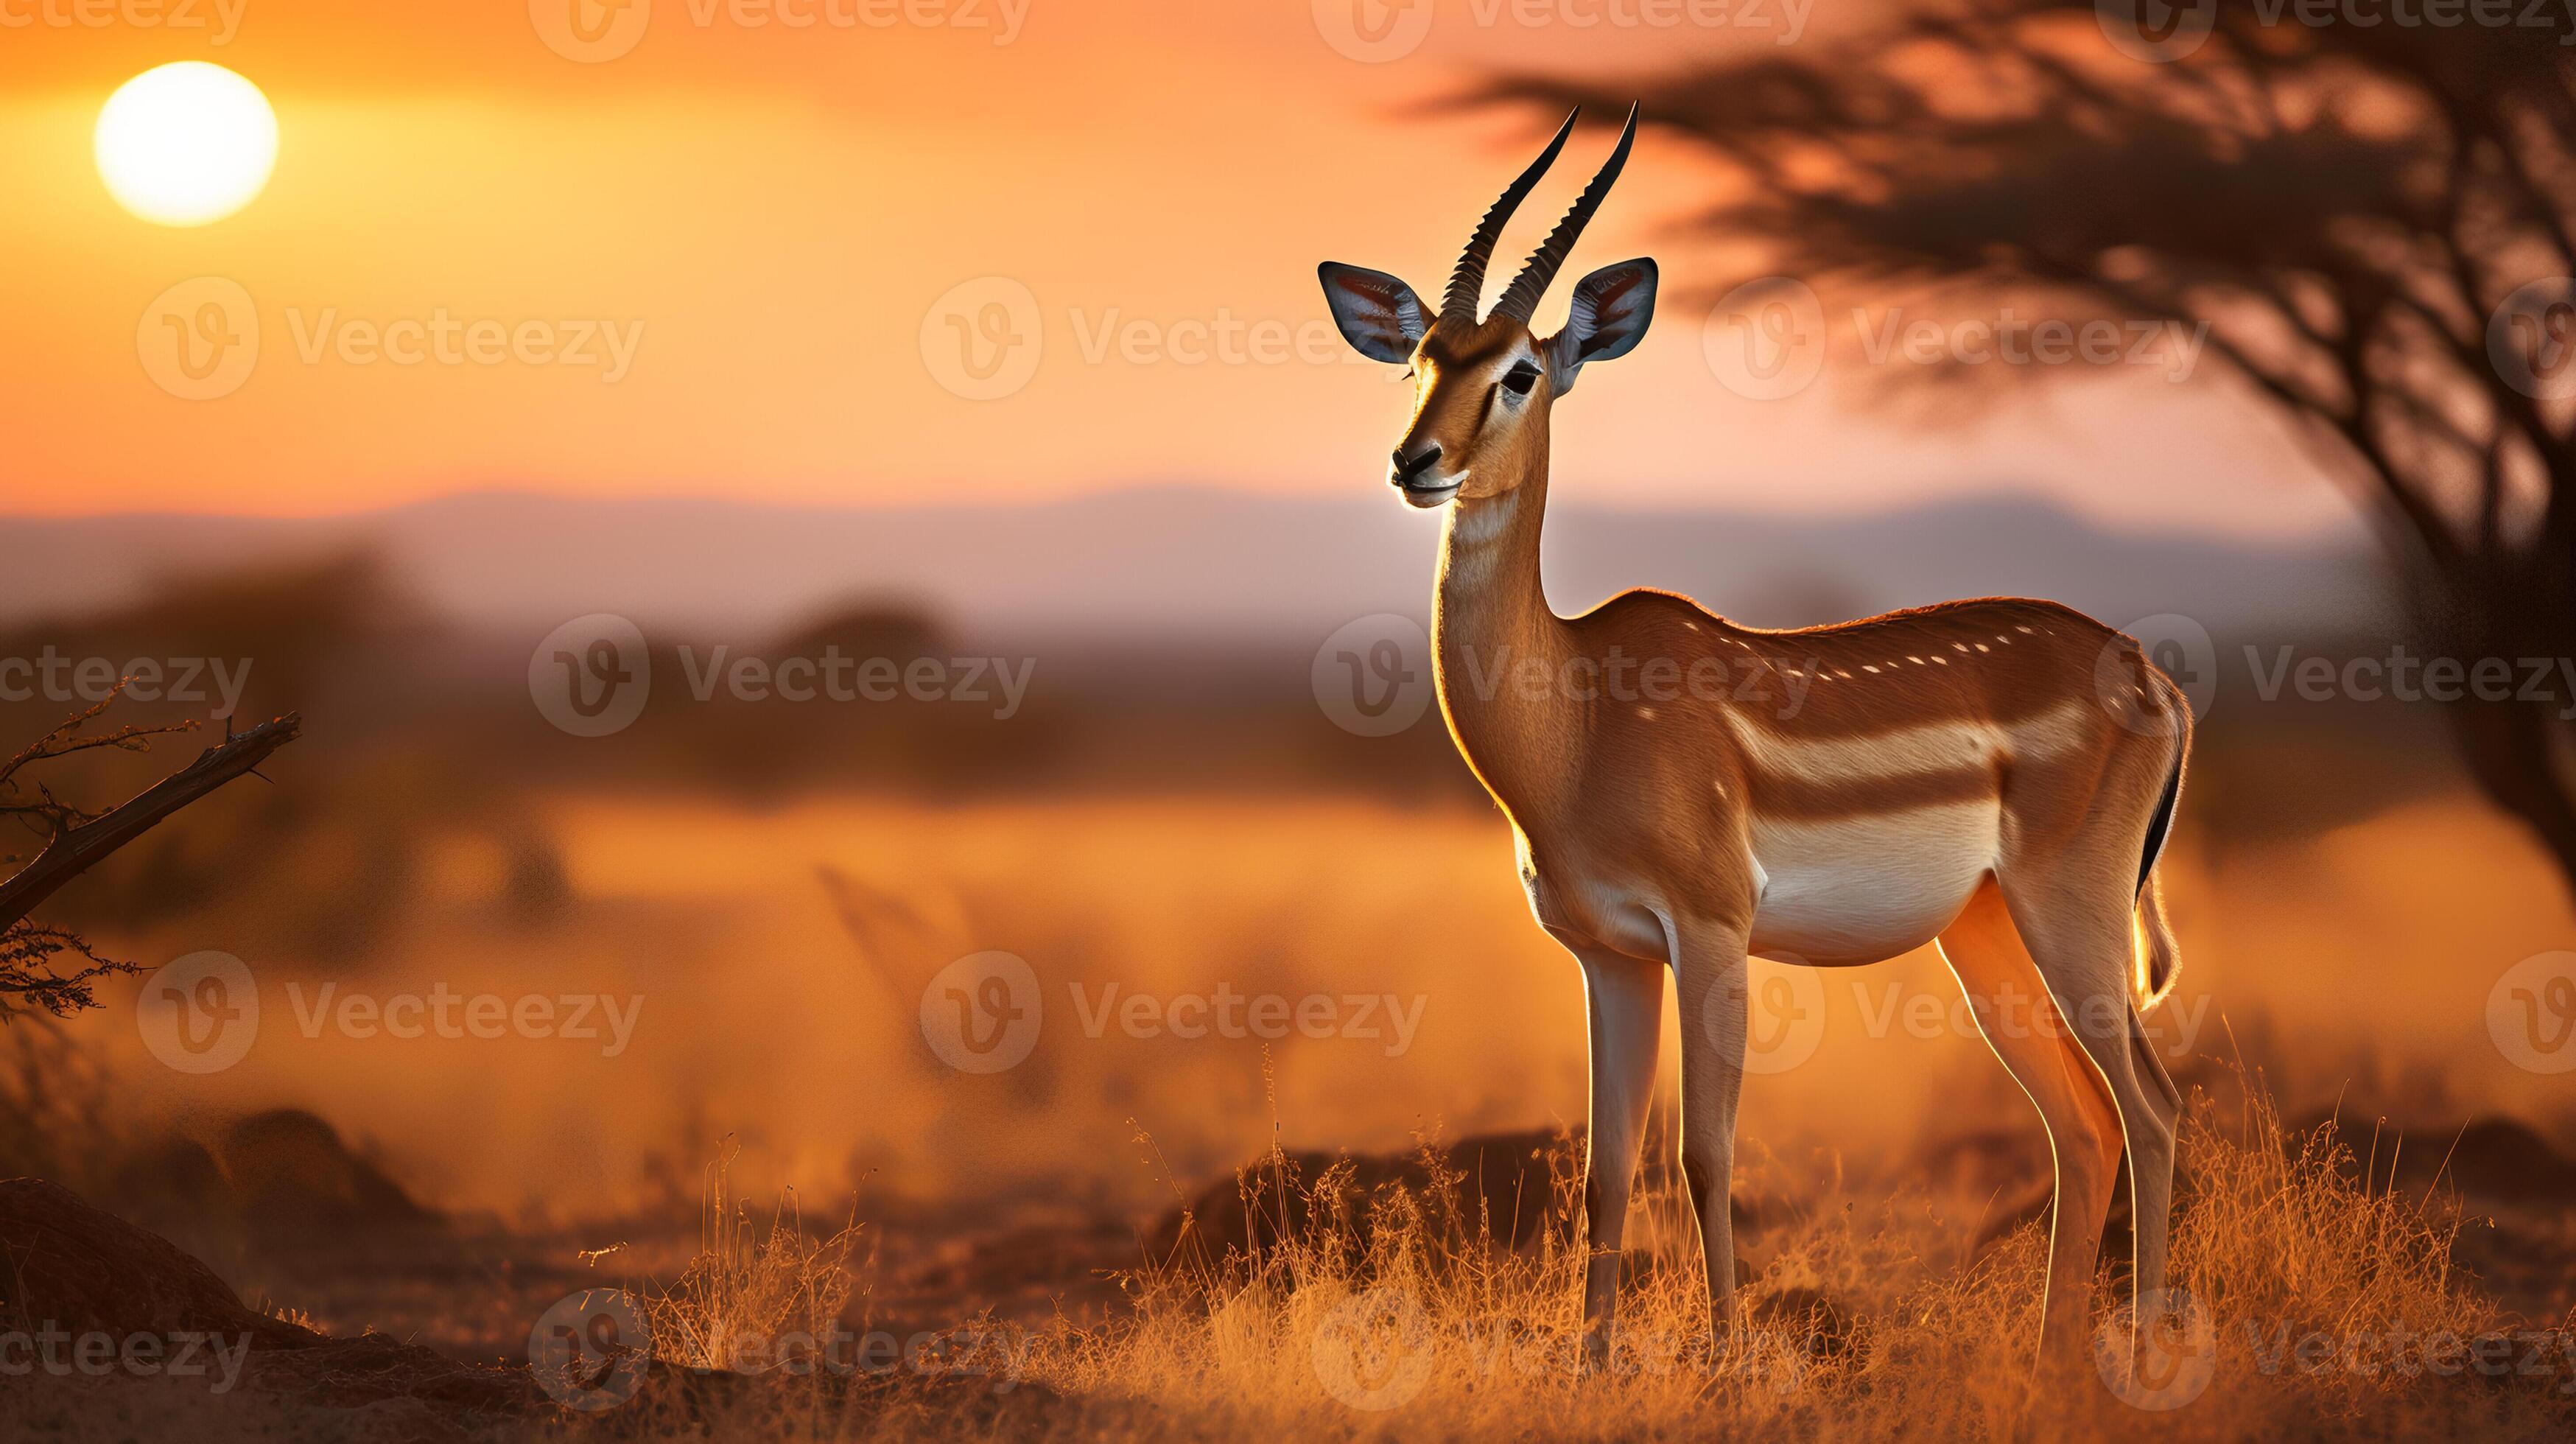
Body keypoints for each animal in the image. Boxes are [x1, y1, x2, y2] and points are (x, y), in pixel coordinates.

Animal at [1316, 107, 2192, 1375]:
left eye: (1521, 370)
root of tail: (2149, 672)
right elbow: (1605, 1168)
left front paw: (1727, 1364)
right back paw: (2048, 1365)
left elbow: (1705, 1152)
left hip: (2068, 915)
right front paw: (1592, 1368)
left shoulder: (1712, 934)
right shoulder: (1609, 956)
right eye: (1422, 358)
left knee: (2153, 1110)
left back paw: (2149, 1359)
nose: (1414, 463)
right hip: (1980, 936)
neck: (1577, 716)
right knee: (2080, 1122)